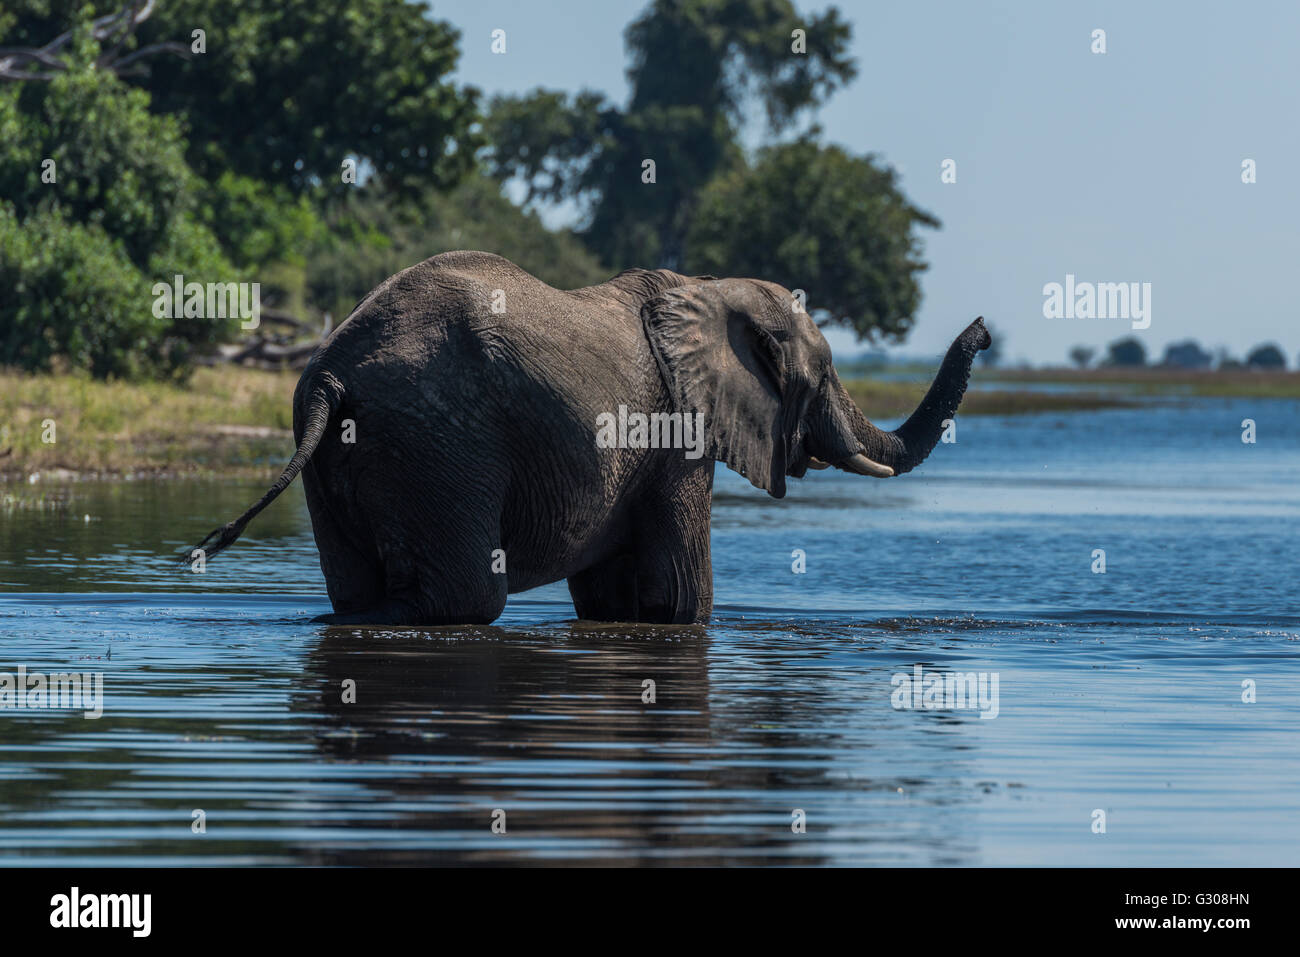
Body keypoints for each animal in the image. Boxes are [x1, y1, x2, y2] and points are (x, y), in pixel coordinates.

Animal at [189, 250, 990, 625]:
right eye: (822, 373)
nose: (983, 328)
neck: (708, 288)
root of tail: (331, 374)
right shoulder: (677, 429)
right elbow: (677, 600)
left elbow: (615, 599)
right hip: (440, 444)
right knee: (466, 597)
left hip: (345, 446)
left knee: (362, 588)